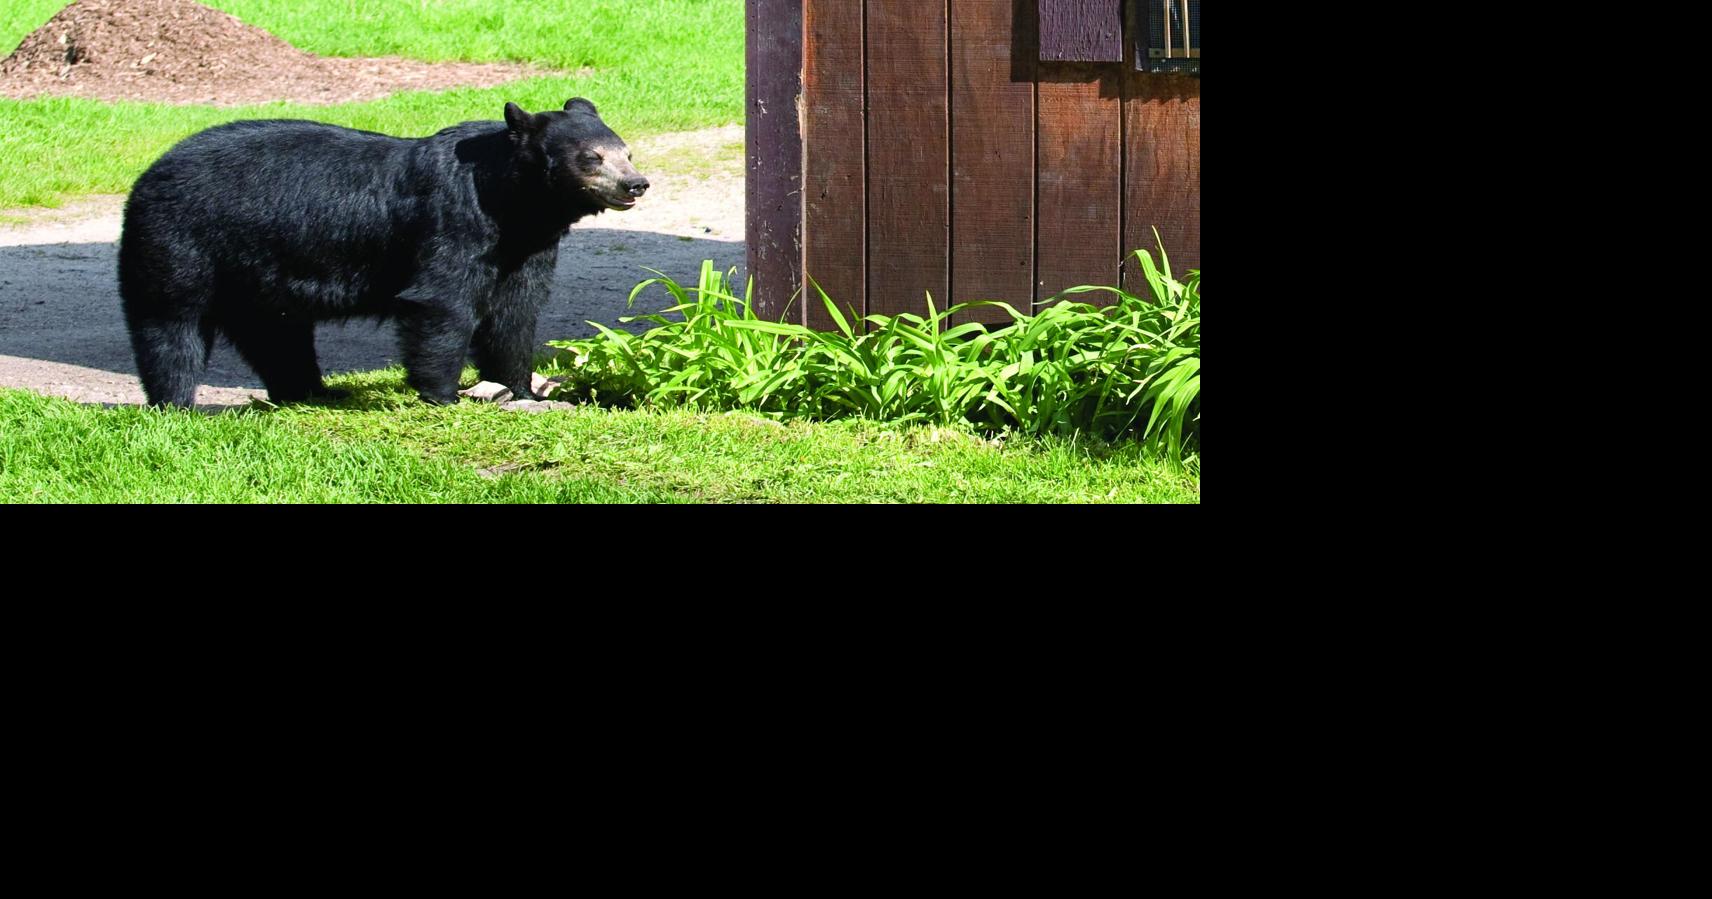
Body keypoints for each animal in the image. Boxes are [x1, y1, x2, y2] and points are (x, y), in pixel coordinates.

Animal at [117, 98, 648, 408]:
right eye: (591, 157)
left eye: (626, 152)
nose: (636, 184)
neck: (511, 202)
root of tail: (149, 172)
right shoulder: (453, 221)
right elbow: (441, 302)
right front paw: (444, 393)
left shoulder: (525, 246)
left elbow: (515, 310)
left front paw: (519, 387)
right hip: (182, 243)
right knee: (170, 326)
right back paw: (176, 400)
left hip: (255, 273)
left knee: (276, 335)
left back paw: (310, 391)